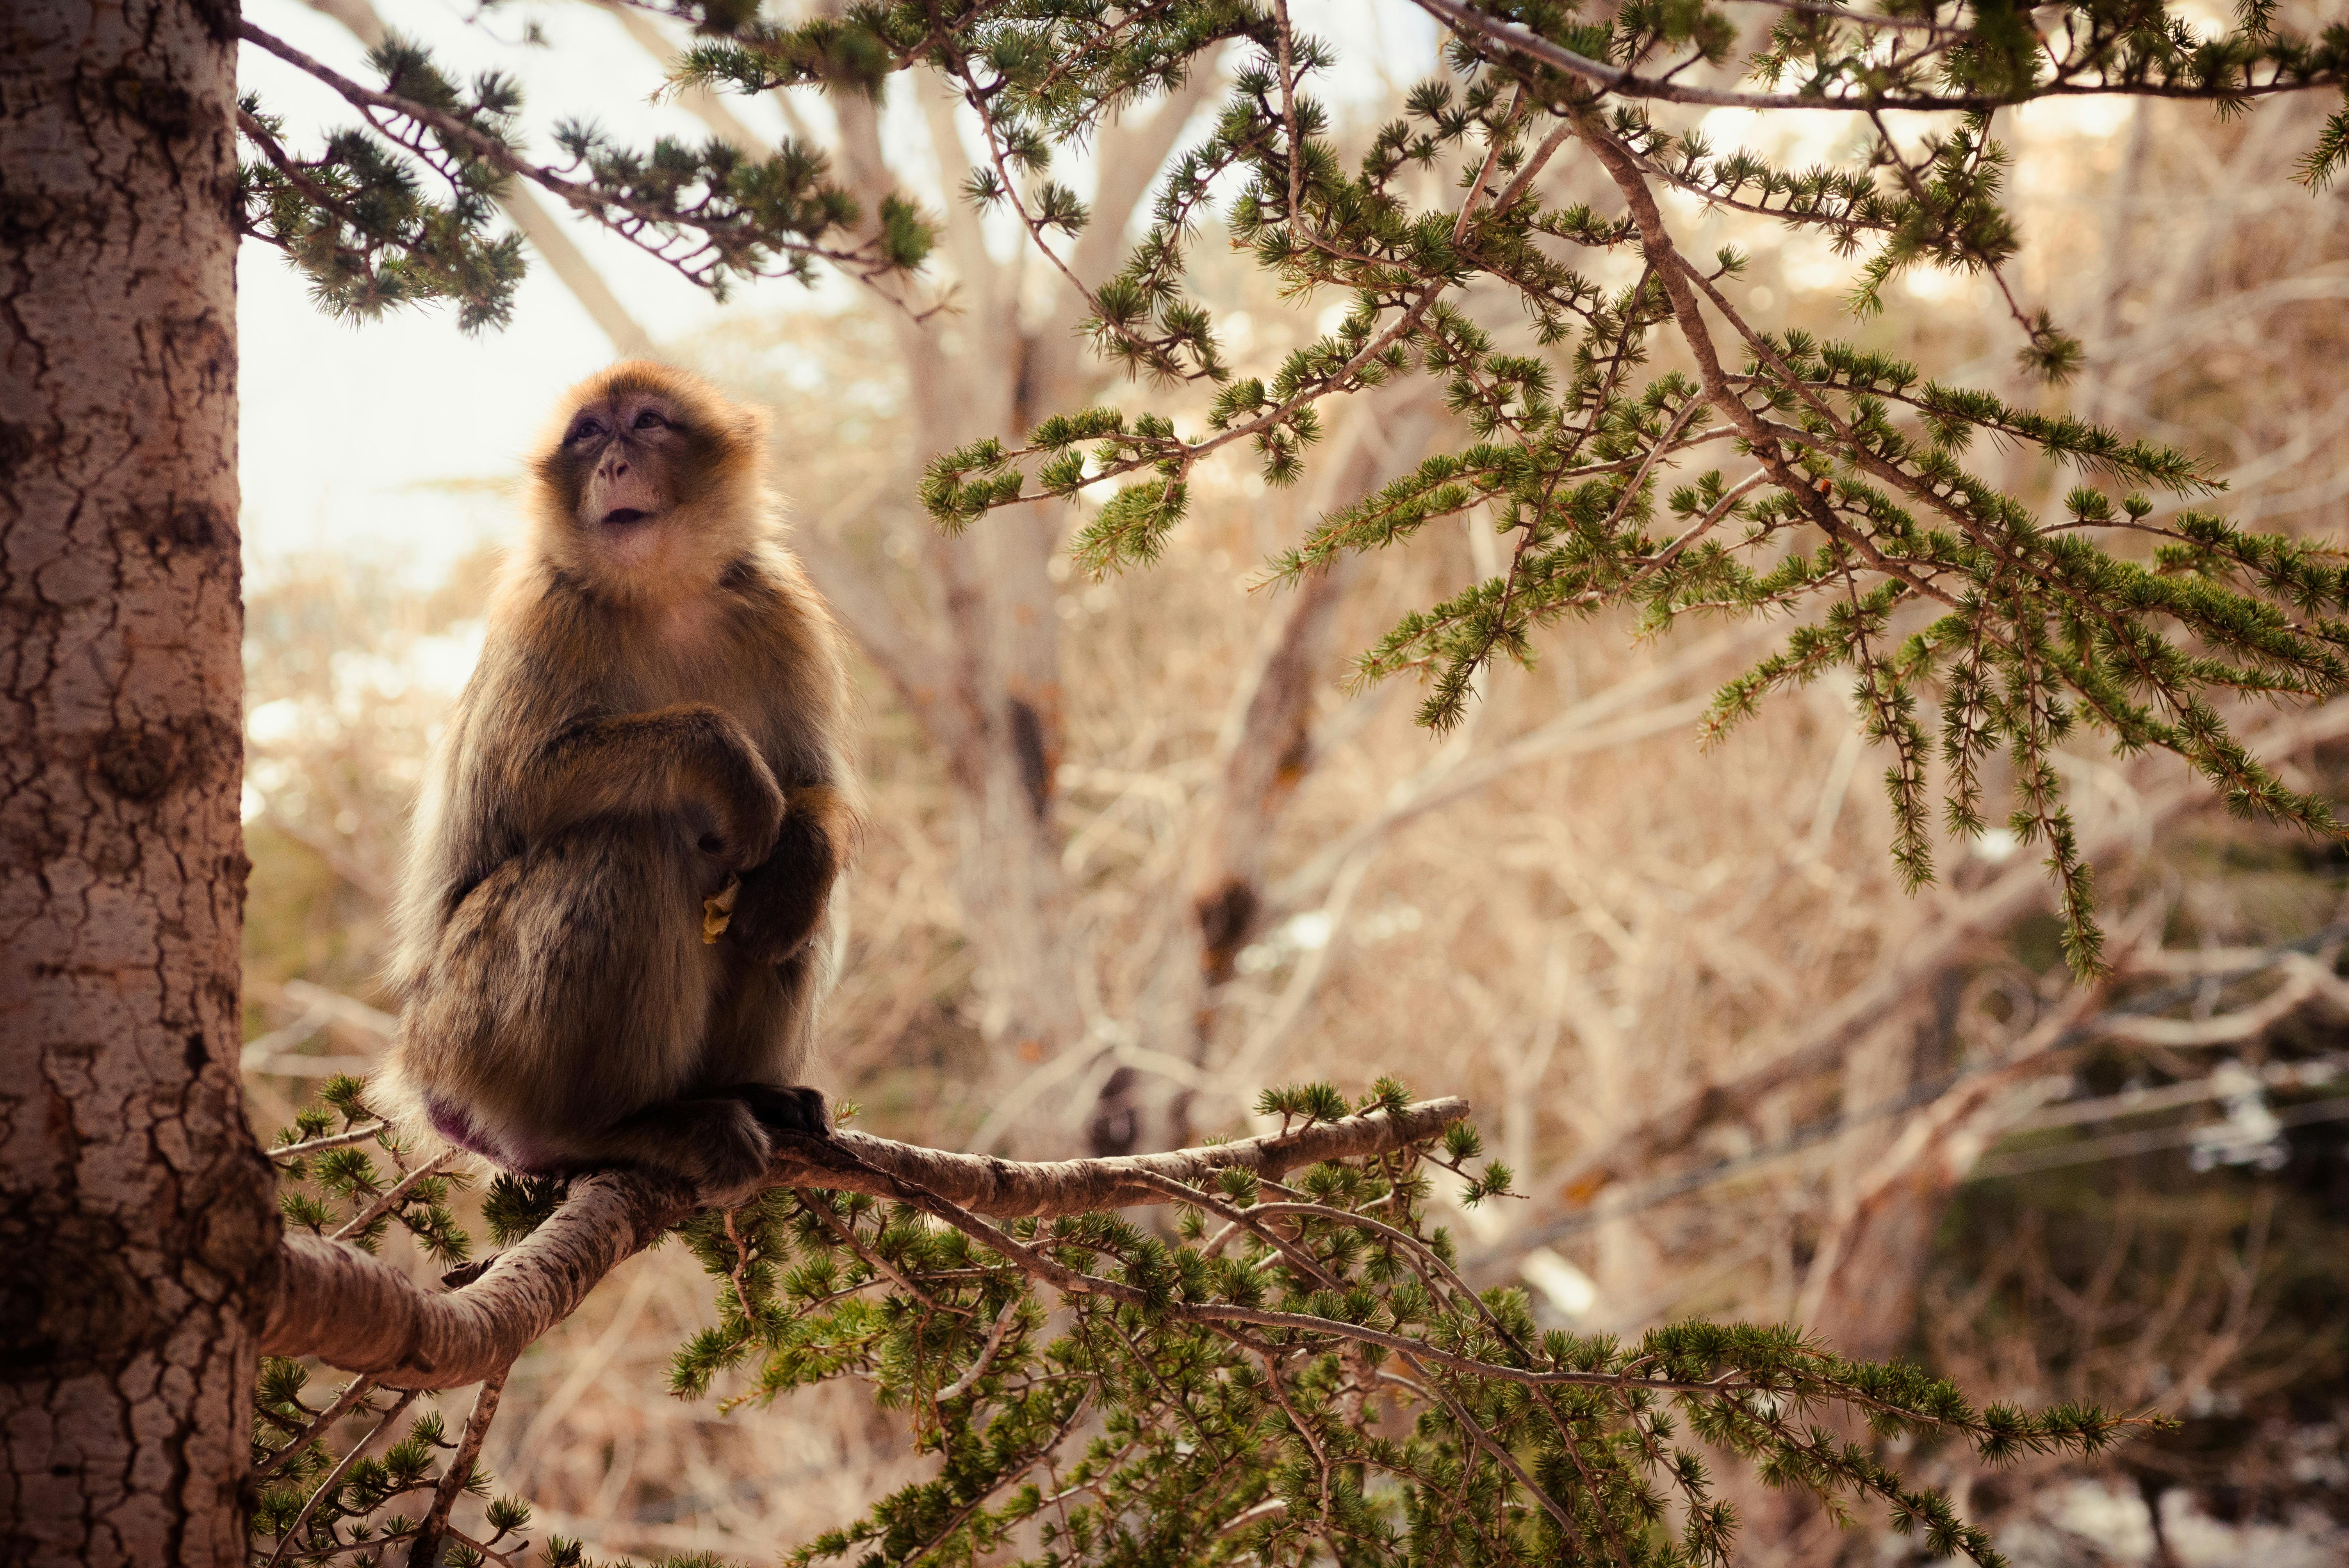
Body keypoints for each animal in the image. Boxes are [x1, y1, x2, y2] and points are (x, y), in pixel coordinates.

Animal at [382, 361, 861, 1200]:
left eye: (646, 423)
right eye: (587, 434)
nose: (612, 464)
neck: (663, 595)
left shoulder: (782, 611)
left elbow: (813, 787)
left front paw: (796, 858)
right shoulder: (546, 615)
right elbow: (523, 783)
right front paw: (724, 762)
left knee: (795, 906)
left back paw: (750, 1084)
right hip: (468, 1030)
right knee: (625, 844)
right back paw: (615, 1127)